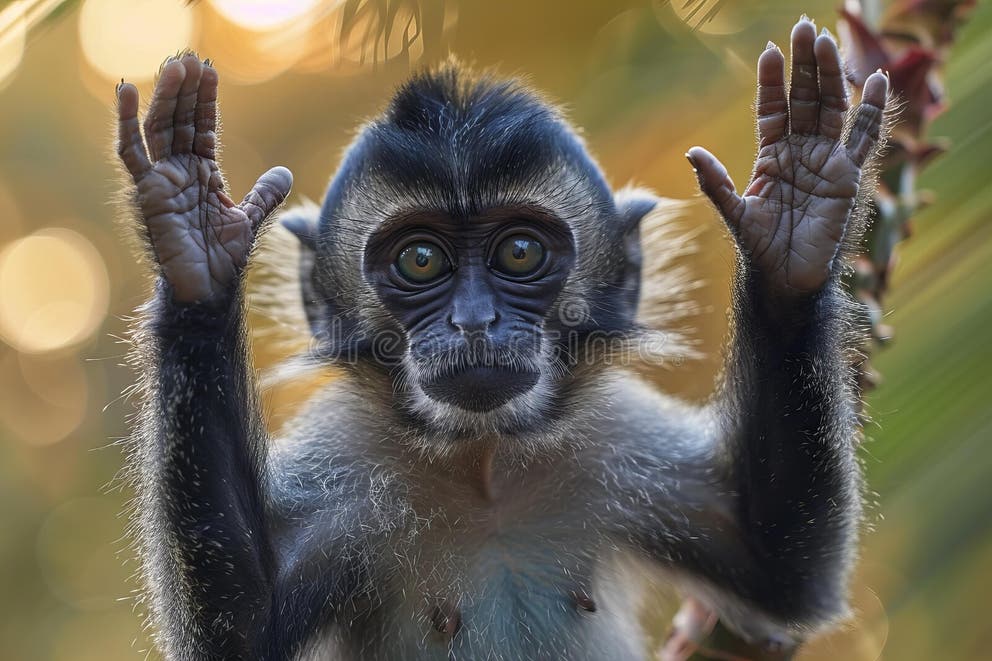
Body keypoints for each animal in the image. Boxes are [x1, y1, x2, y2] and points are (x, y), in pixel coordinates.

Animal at [114, 17, 890, 661]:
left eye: (519, 252)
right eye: (420, 261)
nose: (474, 320)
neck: (484, 464)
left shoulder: (616, 436)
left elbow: (781, 575)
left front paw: (796, 224)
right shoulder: (347, 466)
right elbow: (241, 630)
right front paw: (194, 252)